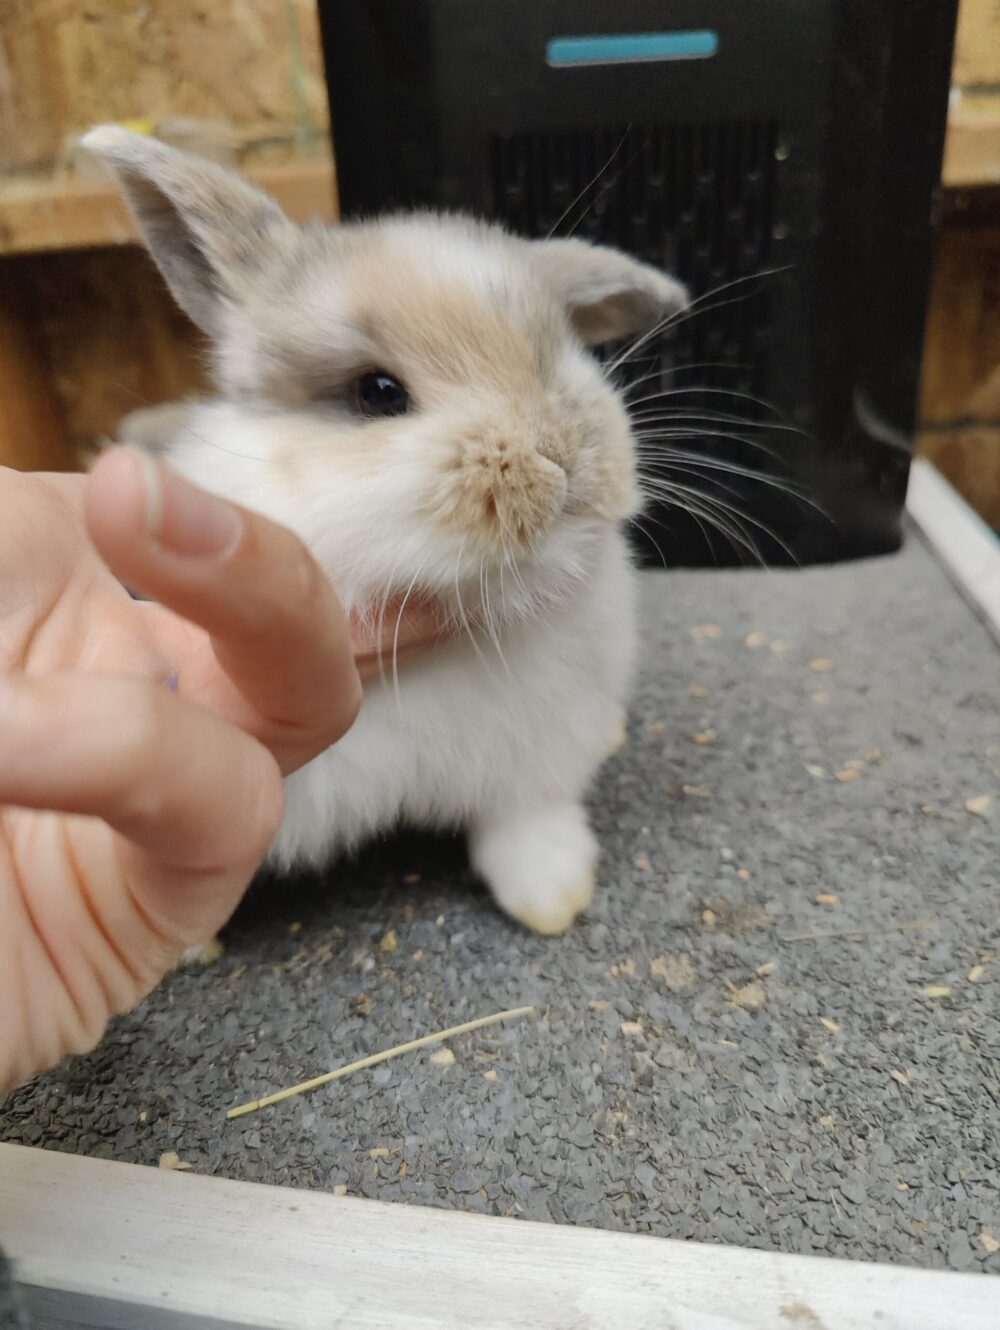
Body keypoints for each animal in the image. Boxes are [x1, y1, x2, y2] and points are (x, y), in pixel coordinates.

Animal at [84, 126, 687, 935]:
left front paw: (552, 902)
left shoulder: (537, 758)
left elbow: (528, 827)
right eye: (377, 393)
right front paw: (187, 942)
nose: (560, 456)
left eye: (555, 350)